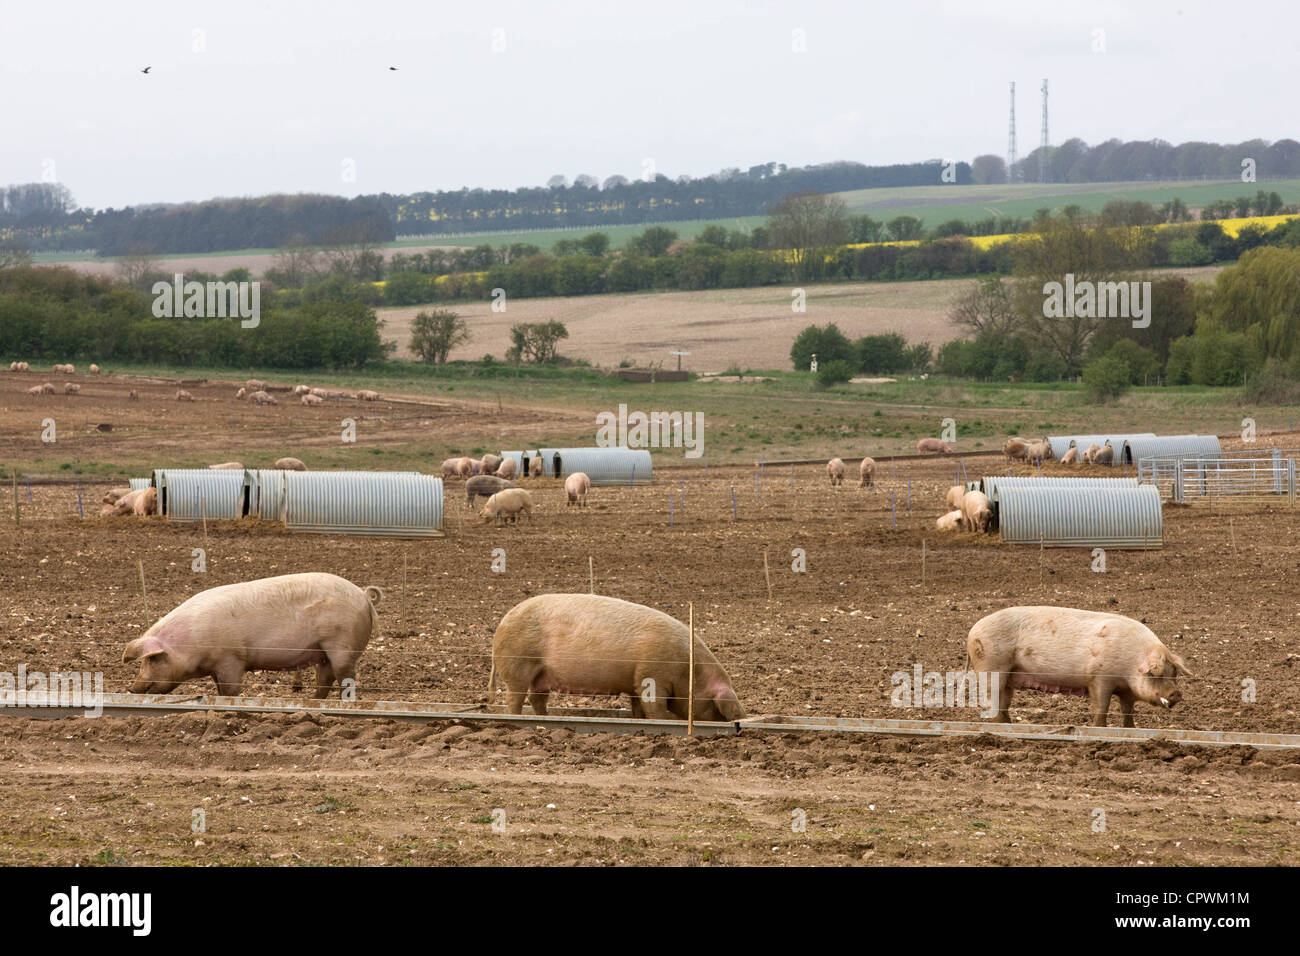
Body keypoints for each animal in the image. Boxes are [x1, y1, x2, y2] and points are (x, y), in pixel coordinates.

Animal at [122, 572, 382, 698]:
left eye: (152, 659)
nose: (132, 689)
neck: (190, 641)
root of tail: (362, 594)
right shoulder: (217, 666)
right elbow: (219, 689)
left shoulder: (231, 659)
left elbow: (230, 690)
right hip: (322, 651)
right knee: (325, 680)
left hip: (342, 644)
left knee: (346, 678)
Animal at [487, 593, 745, 721]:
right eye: (714, 707)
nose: (739, 719)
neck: (689, 670)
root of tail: (502, 621)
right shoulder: (653, 676)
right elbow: (655, 708)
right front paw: (662, 722)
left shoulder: (636, 682)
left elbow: (639, 708)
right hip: (518, 665)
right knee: (515, 698)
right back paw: (516, 719)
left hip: (542, 674)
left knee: (536, 698)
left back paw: (545, 718)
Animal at [966, 605, 1192, 727]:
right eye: (1156, 673)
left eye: (1173, 674)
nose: (1176, 693)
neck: (1131, 664)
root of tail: (972, 630)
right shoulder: (1099, 678)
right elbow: (1101, 708)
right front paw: (1100, 728)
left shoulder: (1127, 691)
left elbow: (1128, 712)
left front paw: (1131, 729)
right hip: (991, 667)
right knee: (992, 702)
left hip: (1008, 677)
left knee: (1003, 704)